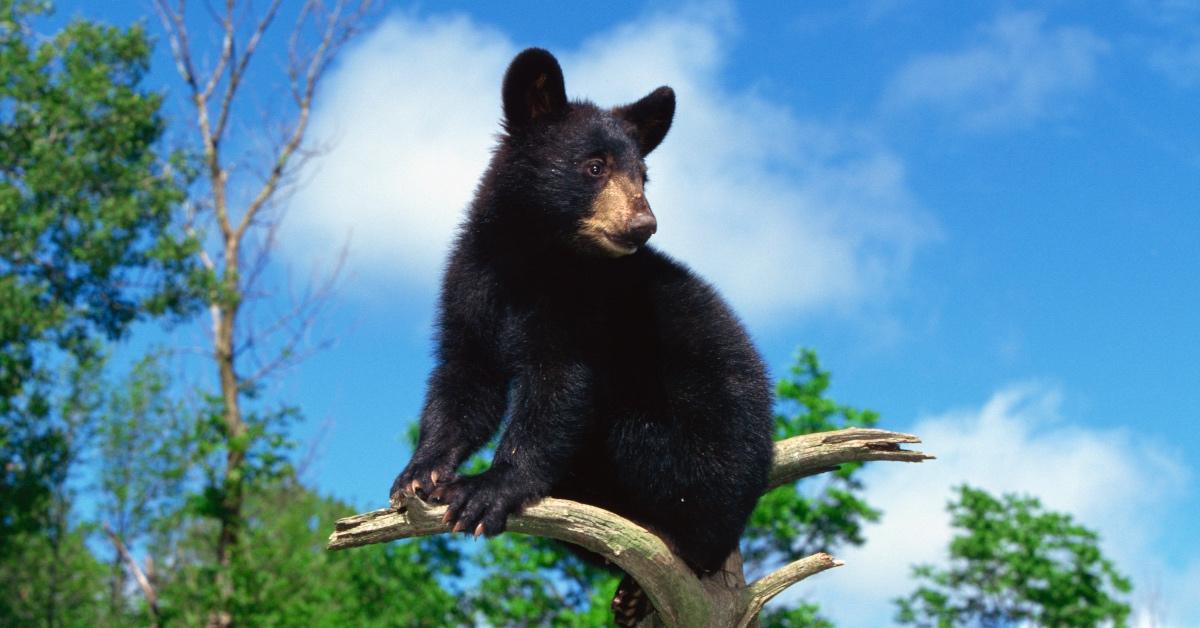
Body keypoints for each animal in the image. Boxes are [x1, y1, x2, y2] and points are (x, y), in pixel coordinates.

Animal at [390, 48, 775, 625]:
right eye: (595, 166)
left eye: (644, 175)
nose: (643, 224)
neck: (534, 260)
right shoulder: (471, 283)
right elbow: (466, 379)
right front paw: (419, 473)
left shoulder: (587, 307)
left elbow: (558, 387)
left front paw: (486, 490)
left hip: (699, 456)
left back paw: (663, 549)